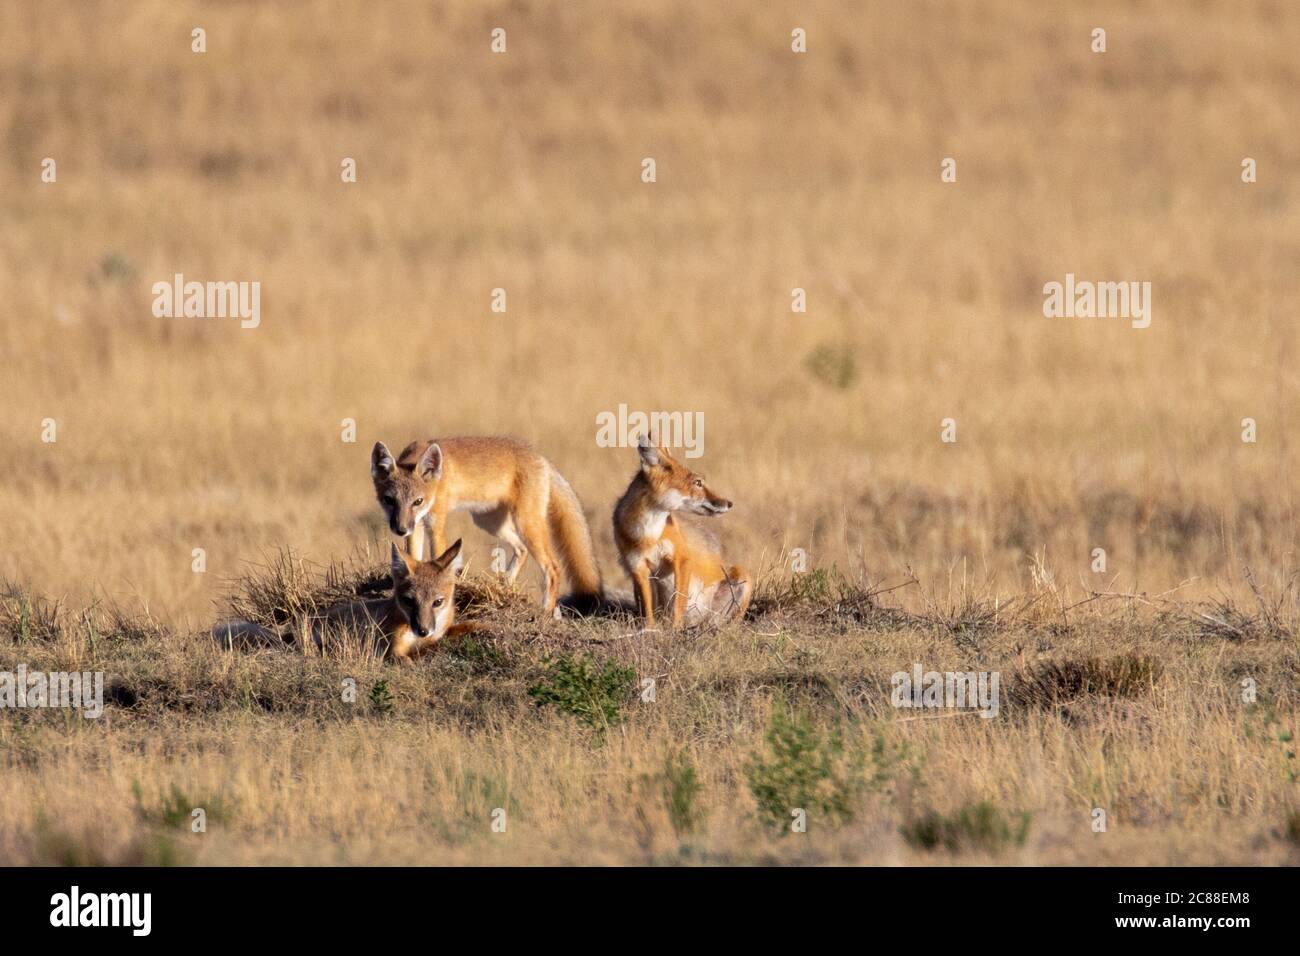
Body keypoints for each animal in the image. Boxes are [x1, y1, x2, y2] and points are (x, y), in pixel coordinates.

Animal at [371, 437, 603, 615]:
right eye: (389, 500)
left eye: (417, 501)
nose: (400, 529)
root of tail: (543, 460)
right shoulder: (416, 527)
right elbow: (413, 557)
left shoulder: (435, 523)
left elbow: (438, 557)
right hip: (490, 523)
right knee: (522, 550)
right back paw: (506, 586)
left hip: (526, 524)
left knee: (552, 567)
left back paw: (546, 612)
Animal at [613, 434, 752, 629]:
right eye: (698, 483)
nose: (729, 503)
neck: (648, 535)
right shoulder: (638, 567)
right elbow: (648, 609)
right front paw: (650, 629)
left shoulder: (682, 558)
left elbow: (679, 601)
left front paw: (675, 629)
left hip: (741, 576)